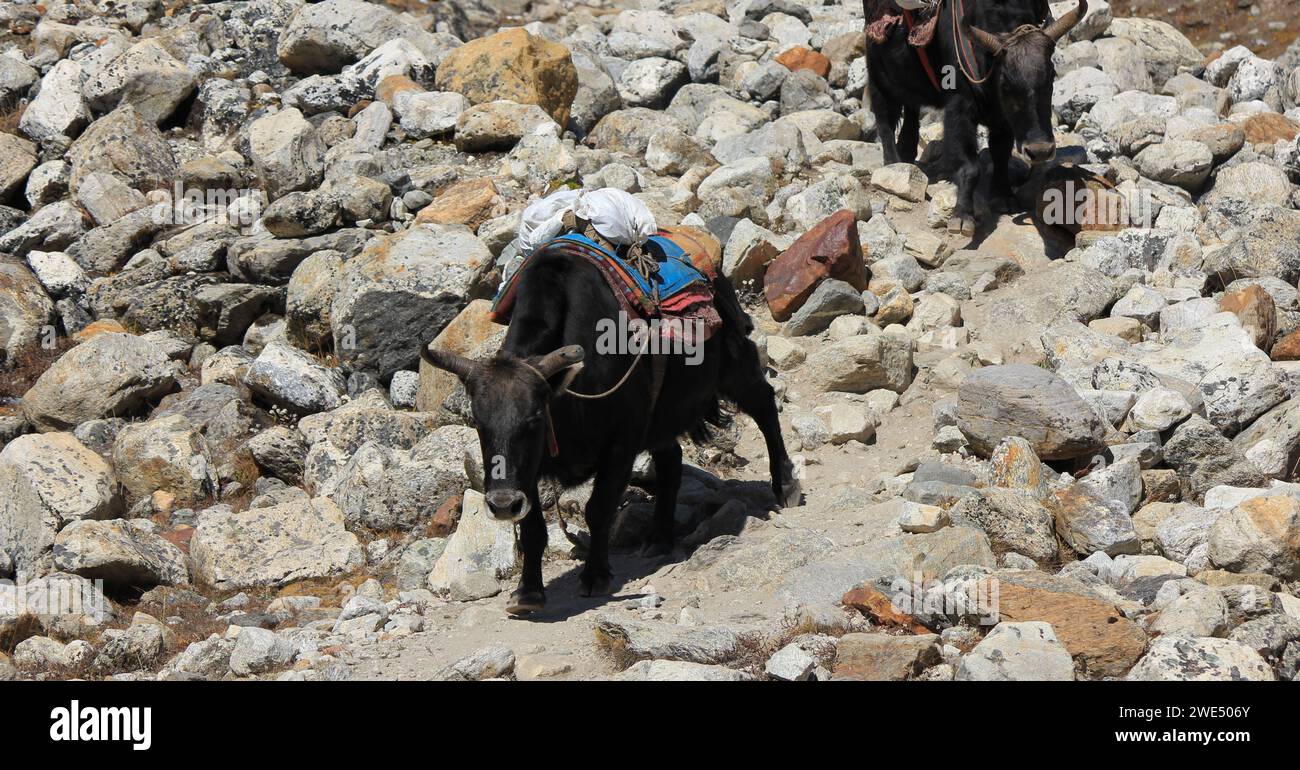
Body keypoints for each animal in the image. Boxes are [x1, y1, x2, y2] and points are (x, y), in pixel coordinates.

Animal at [422, 245, 798, 615]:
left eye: (534, 418)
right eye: (478, 422)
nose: (501, 504)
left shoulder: (620, 446)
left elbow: (598, 509)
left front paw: (595, 576)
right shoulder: (526, 470)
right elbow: (532, 526)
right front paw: (528, 592)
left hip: (734, 370)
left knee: (764, 405)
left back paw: (785, 486)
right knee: (671, 458)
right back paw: (659, 538)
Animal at [864, 0, 1088, 235]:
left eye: (1052, 75)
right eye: (1006, 82)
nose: (1040, 151)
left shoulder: (1003, 119)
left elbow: (1001, 155)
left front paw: (1003, 197)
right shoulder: (959, 110)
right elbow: (970, 167)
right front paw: (961, 217)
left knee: (911, 112)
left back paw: (907, 155)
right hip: (879, 81)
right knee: (885, 122)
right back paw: (893, 163)